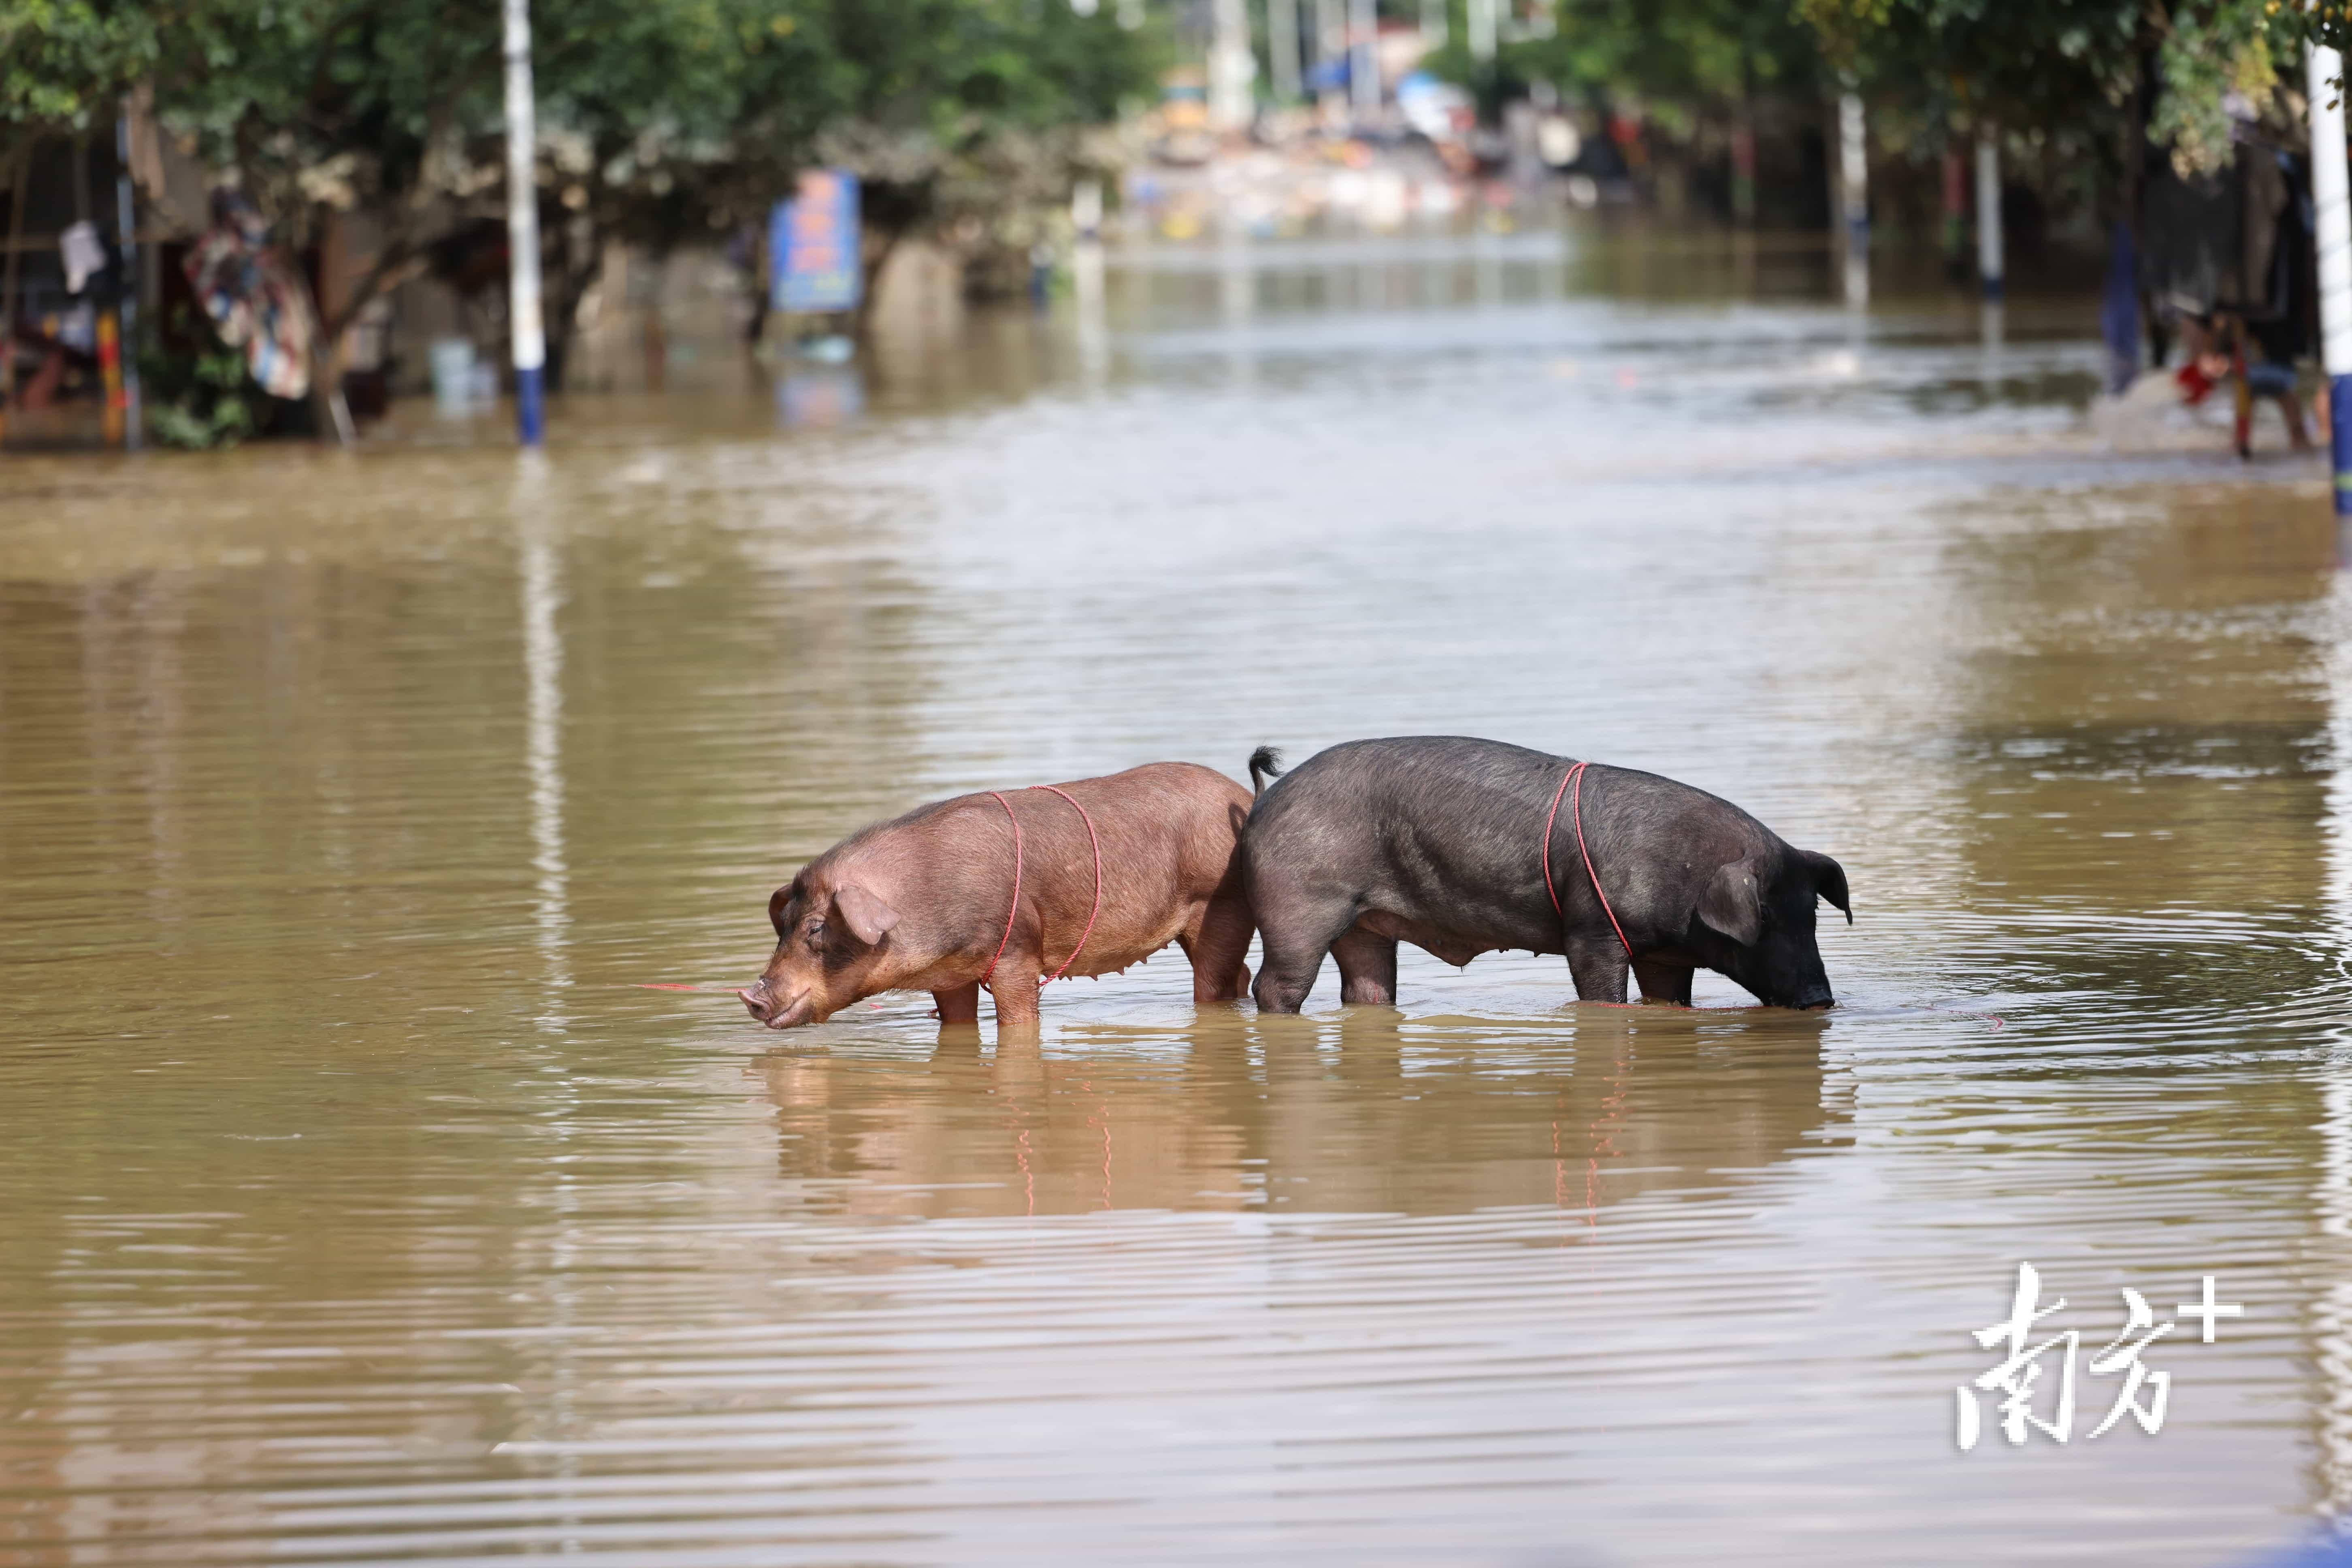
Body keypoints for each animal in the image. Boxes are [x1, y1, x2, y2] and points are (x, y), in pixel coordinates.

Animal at [1251, 738, 1853, 1011]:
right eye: (1763, 916)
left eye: (1813, 915)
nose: (1821, 997)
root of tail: (1266, 798)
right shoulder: (1593, 928)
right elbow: (1602, 993)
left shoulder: (1664, 956)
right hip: (1299, 905)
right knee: (1274, 984)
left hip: (1365, 926)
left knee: (1368, 988)